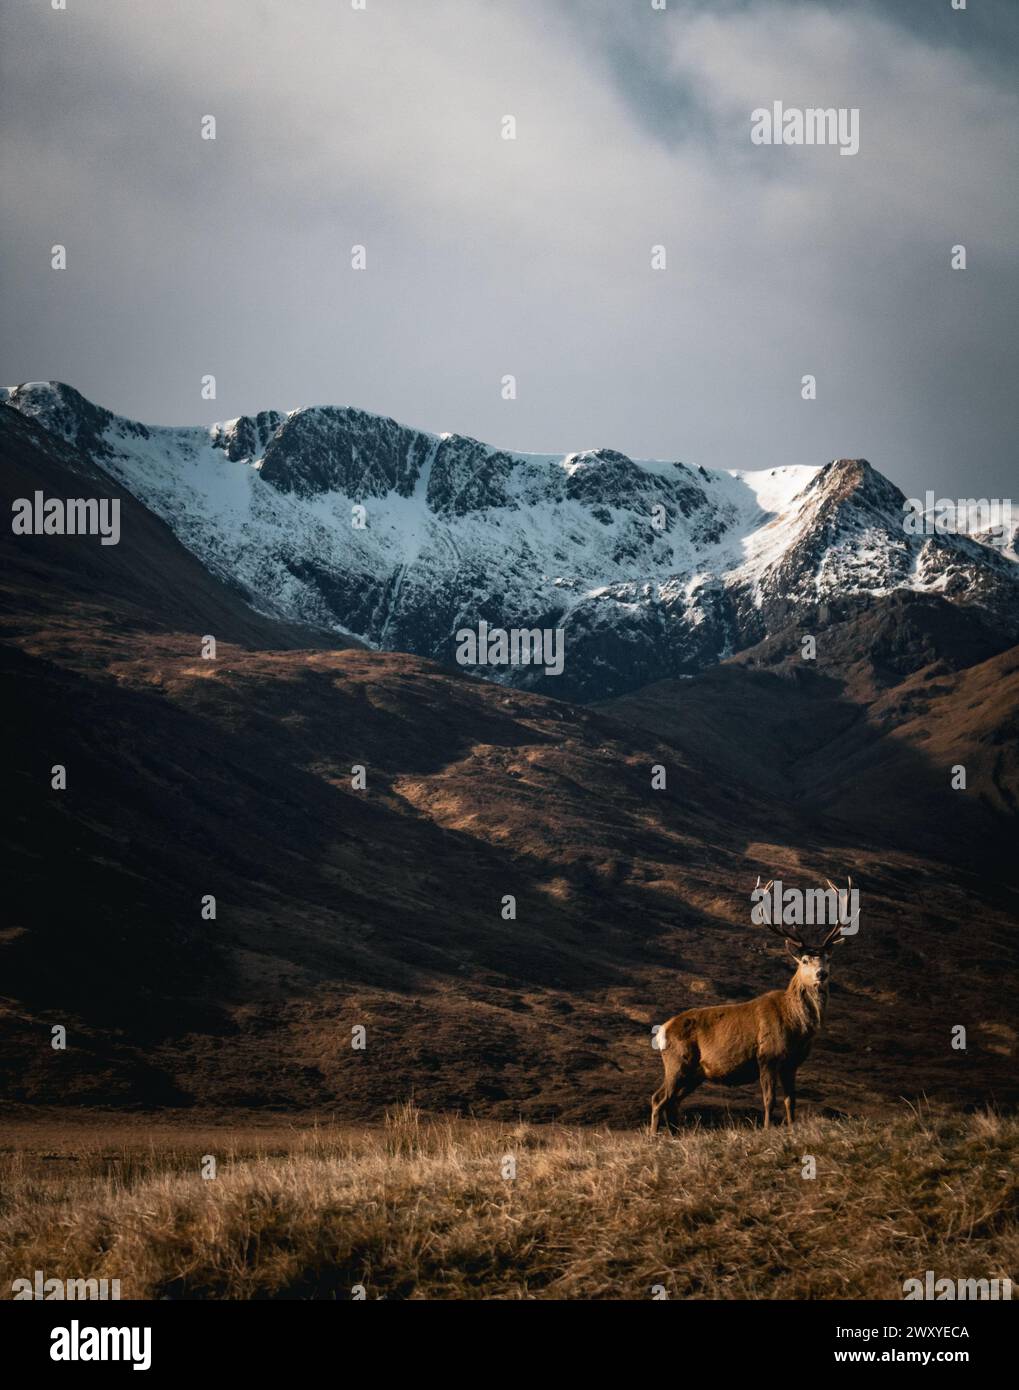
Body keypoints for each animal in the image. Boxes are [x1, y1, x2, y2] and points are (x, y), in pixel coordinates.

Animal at [649, 877, 856, 1133]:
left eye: (828, 958)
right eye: (805, 960)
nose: (822, 974)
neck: (797, 1028)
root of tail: (662, 1030)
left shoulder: (792, 1063)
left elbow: (791, 1100)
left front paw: (791, 1127)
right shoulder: (767, 1056)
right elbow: (769, 1099)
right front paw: (767, 1129)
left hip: (694, 1073)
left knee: (673, 1102)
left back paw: (676, 1135)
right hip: (677, 1062)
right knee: (658, 1098)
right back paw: (654, 1136)